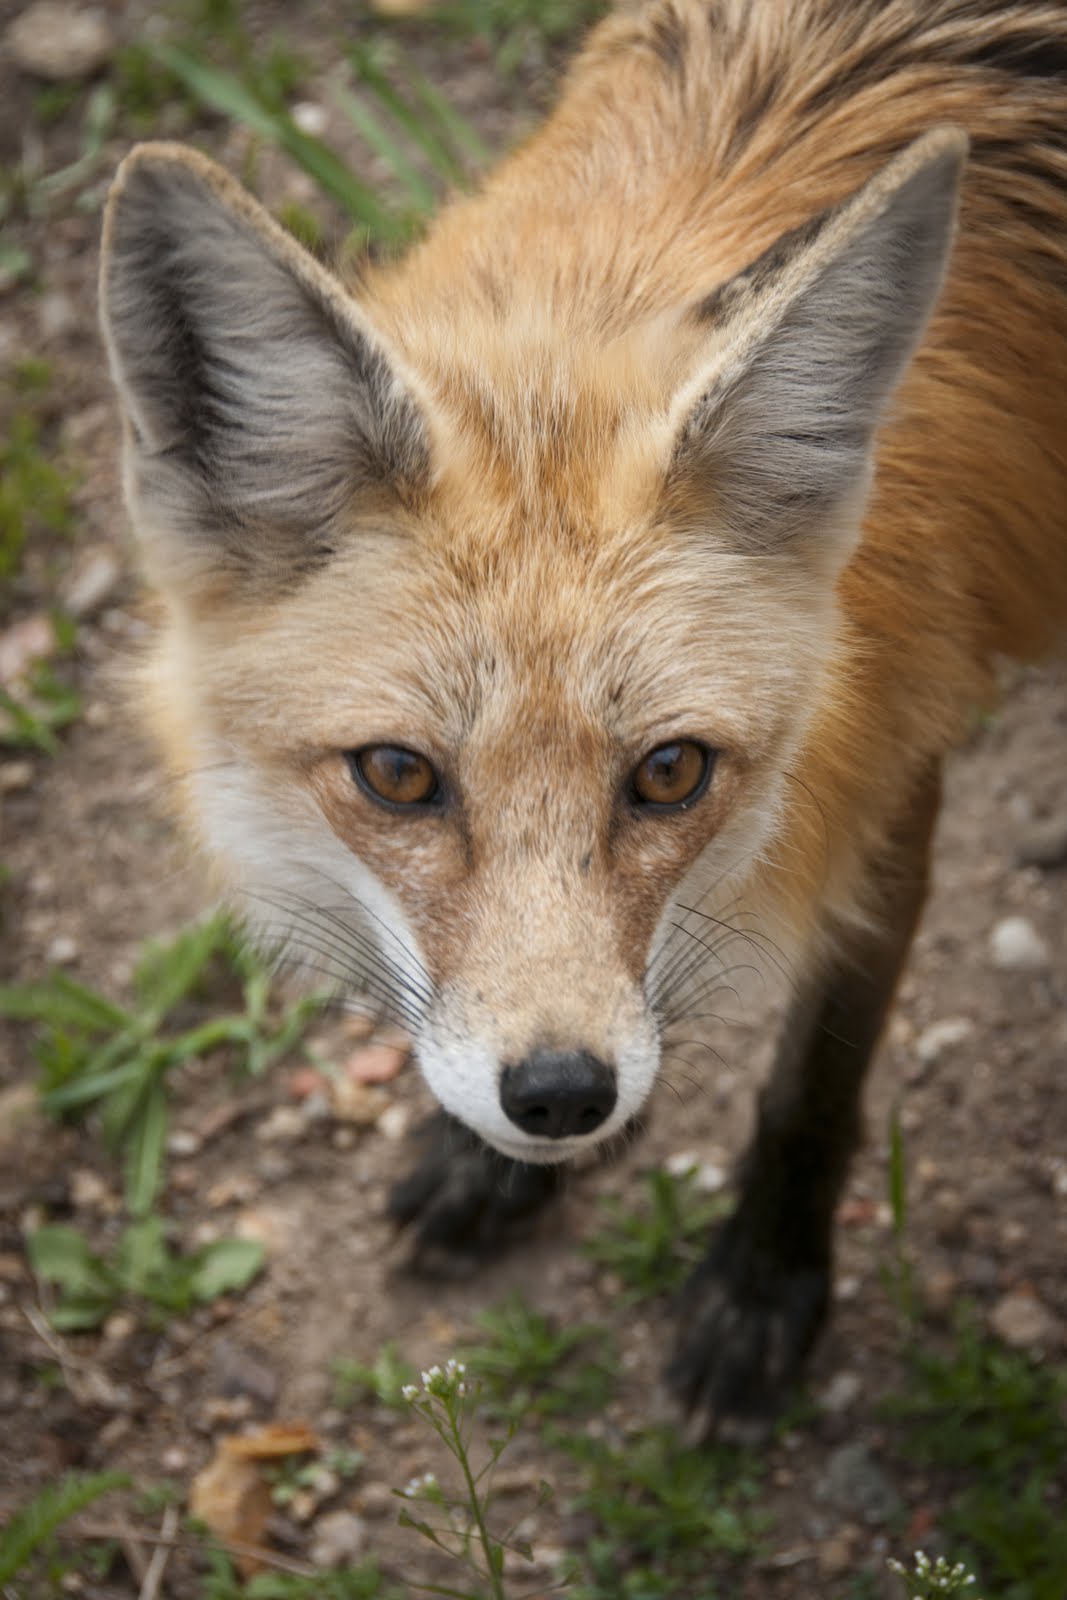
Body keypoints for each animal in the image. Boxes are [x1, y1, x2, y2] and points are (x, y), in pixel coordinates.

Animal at [99, 0, 1067, 1432]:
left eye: (669, 772)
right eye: (398, 775)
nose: (558, 1099)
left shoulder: (894, 777)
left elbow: (813, 1074)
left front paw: (763, 1280)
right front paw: (489, 1162)